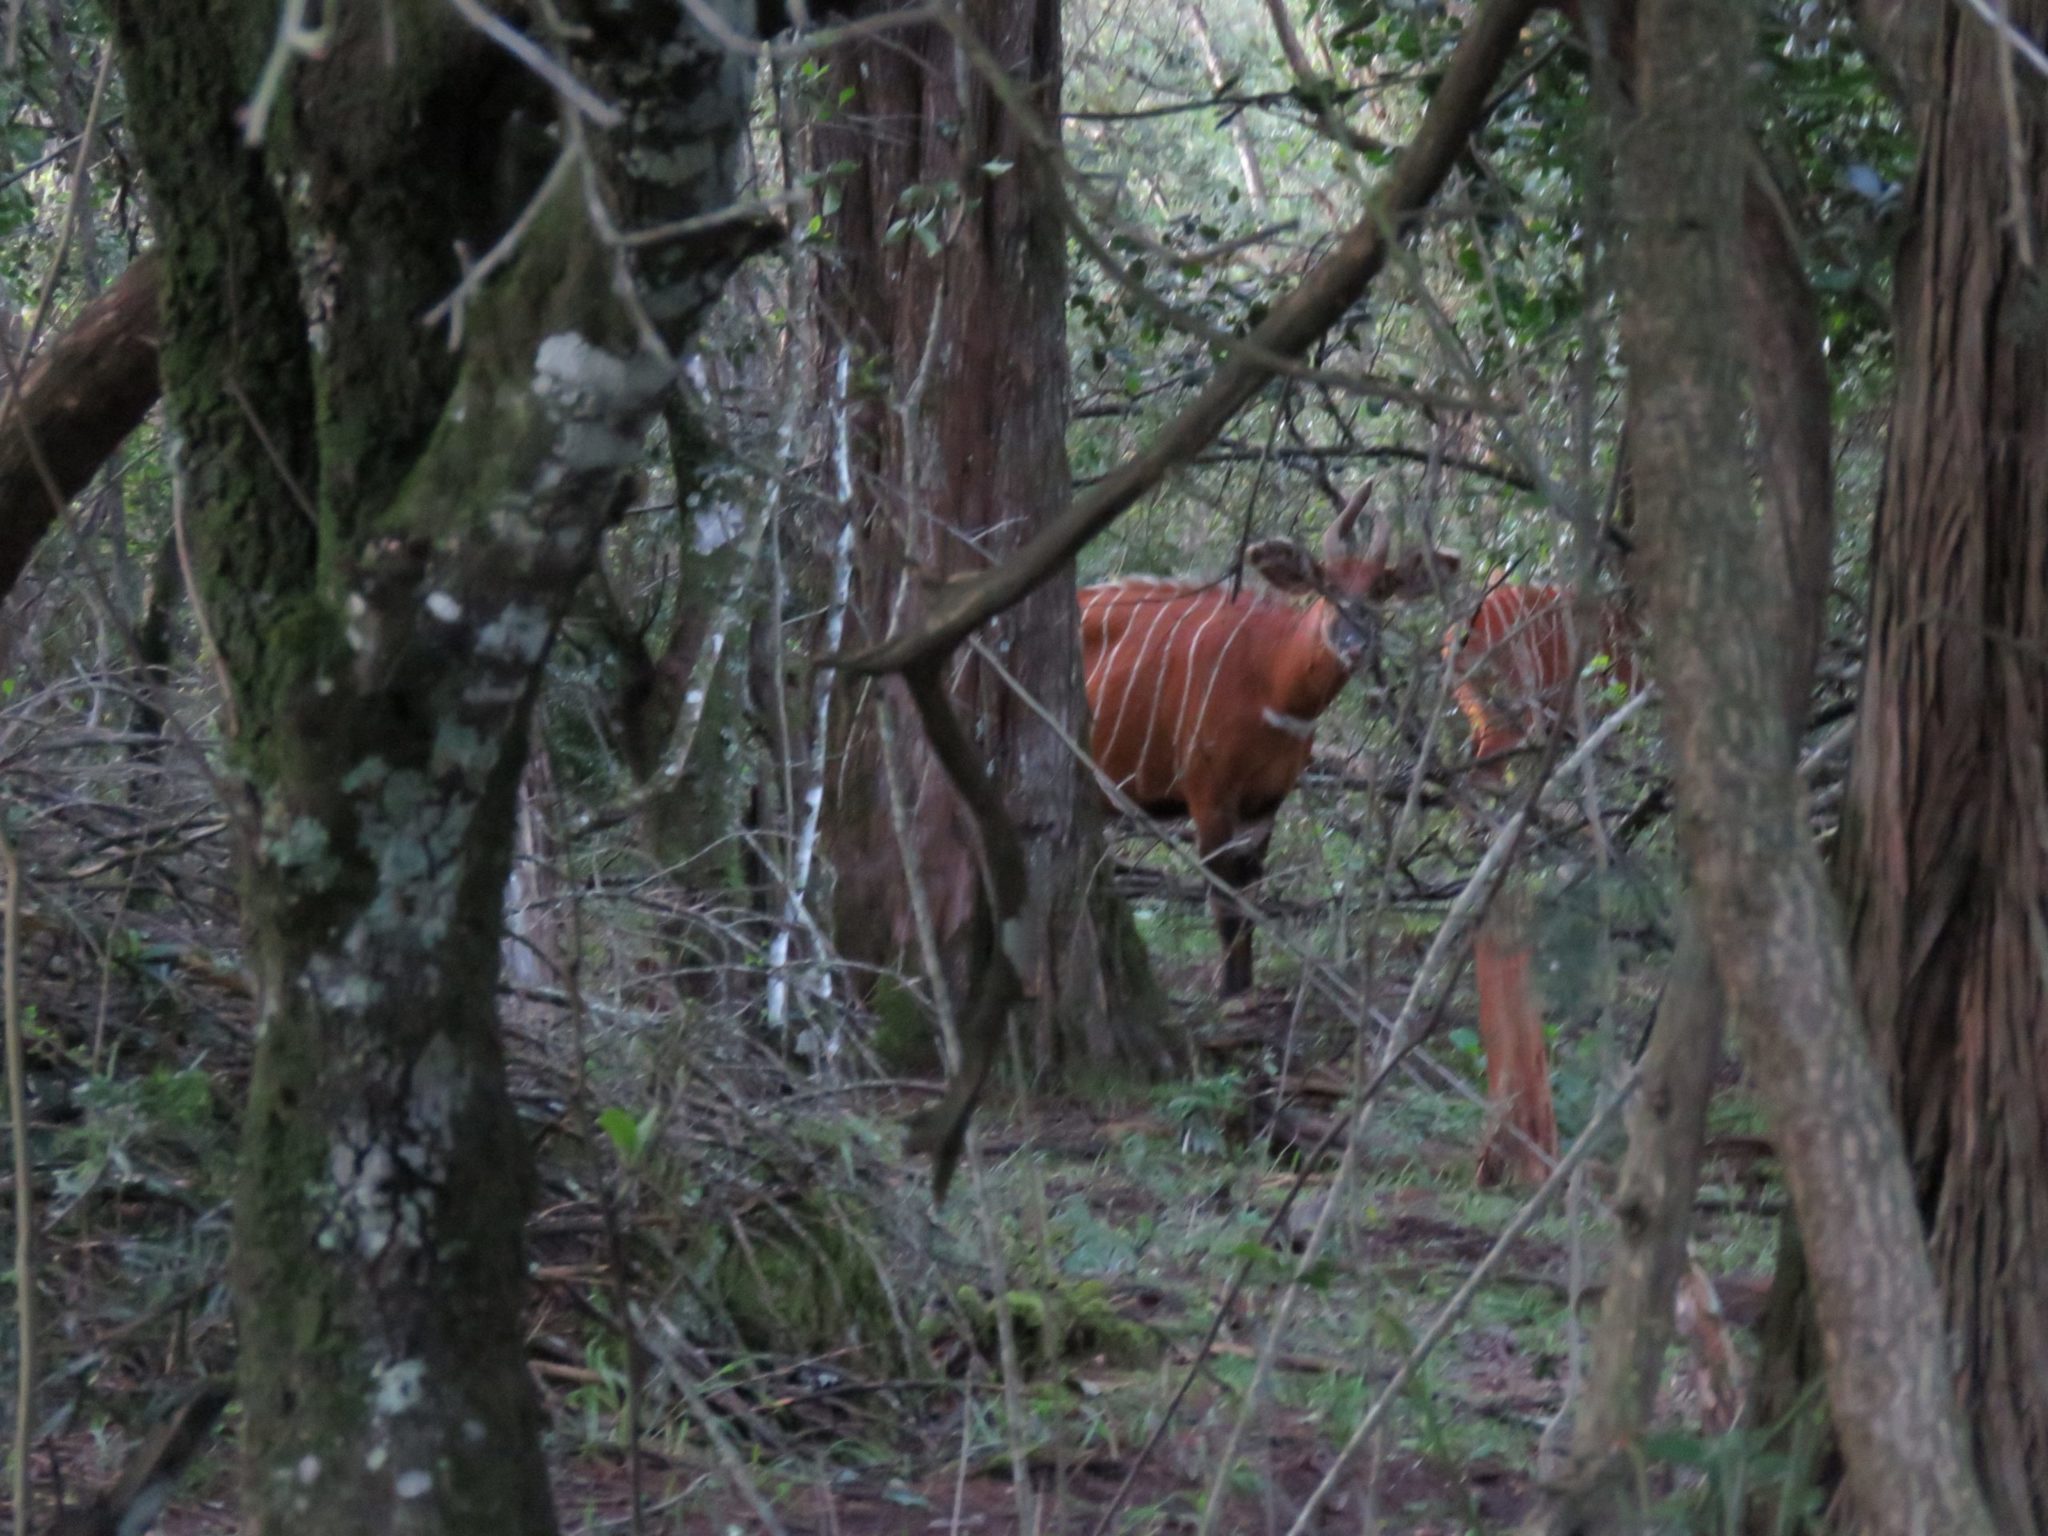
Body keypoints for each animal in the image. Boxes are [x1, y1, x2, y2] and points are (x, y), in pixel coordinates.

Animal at [1080, 485, 1458, 997]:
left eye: (1379, 589)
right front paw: (1230, 997)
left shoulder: (1264, 803)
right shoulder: (1209, 796)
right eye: (1327, 586)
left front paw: (1243, 987)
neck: (1272, 682)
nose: (1356, 645)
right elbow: (1224, 905)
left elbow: (1250, 903)